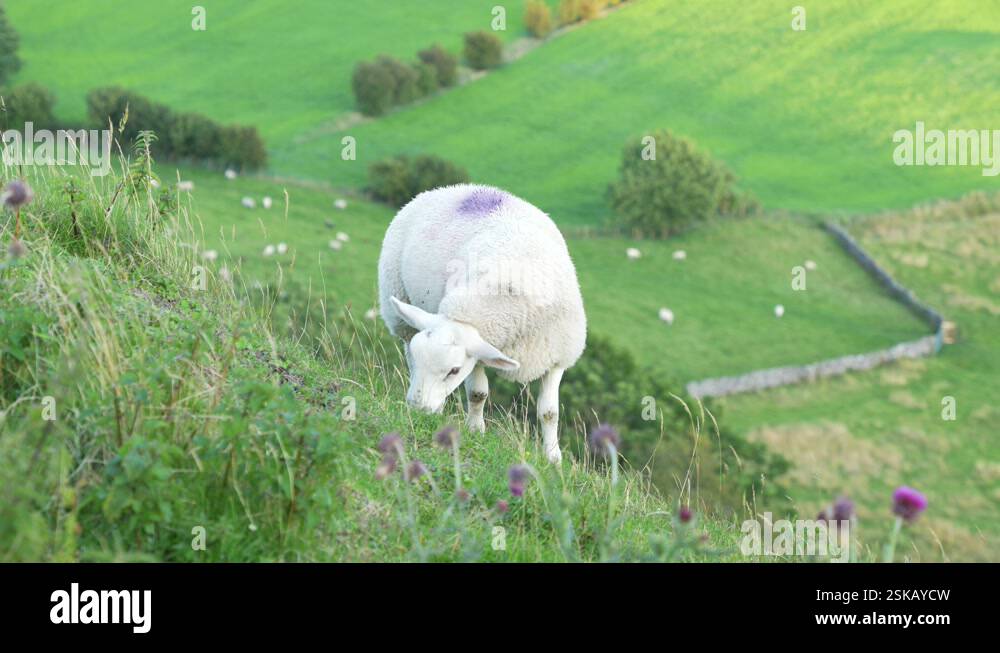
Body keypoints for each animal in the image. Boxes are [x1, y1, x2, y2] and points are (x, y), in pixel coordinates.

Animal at [378, 184, 587, 463]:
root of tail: (446, 189)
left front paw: (553, 458)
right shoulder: (479, 351)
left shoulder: (557, 357)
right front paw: (476, 430)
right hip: (401, 310)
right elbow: (478, 393)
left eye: (454, 370)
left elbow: (549, 413)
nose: (417, 409)